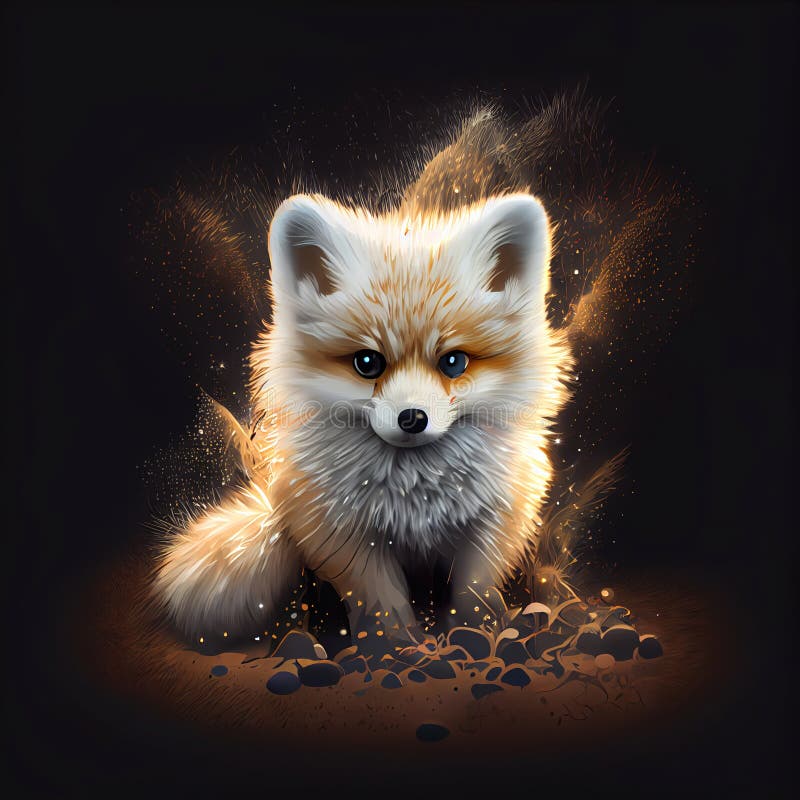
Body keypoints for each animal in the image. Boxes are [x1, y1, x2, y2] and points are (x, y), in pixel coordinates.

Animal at [153, 109, 573, 652]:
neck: (417, 493)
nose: (412, 418)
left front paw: (478, 631)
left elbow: (474, 588)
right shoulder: (339, 531)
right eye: (368, 363)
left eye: (454, 363)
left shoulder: (499, 516)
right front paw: (392, 646)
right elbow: (379, 597)